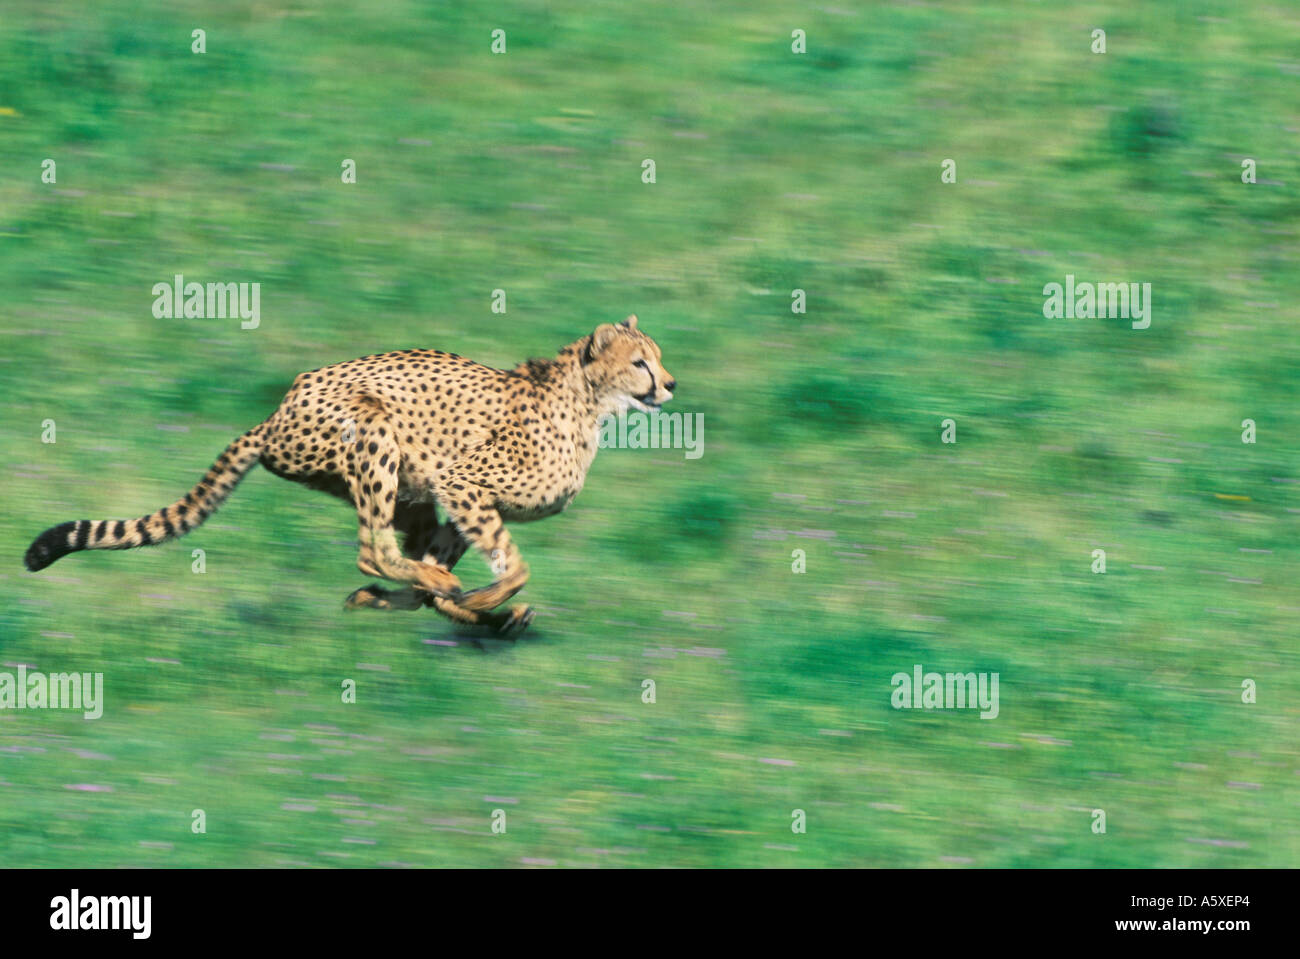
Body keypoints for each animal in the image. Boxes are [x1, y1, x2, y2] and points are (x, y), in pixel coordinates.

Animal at [23, 315, 676, 635]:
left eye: (659, 358)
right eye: (639, 362)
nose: (670, 384)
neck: (589, 403)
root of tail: (276, 411)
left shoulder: (458, 501)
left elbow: (460, 566)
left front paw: (476, 607)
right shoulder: (463, 481)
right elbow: (515, 566)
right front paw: (486, 598)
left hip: (406, 491)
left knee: (401, 560)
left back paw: (427, 600)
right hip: (373, 428)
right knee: (372, 551)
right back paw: (429, 590)